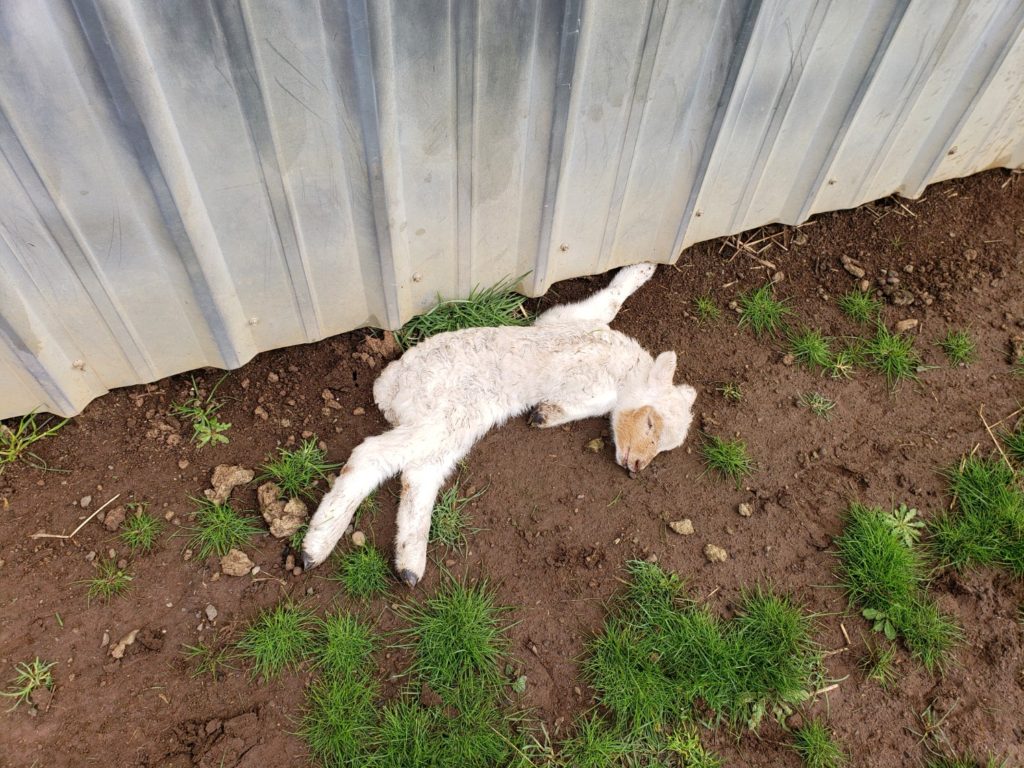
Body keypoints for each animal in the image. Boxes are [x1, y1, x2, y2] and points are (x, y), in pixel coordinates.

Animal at [301, 262, 696, 586]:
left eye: (664, 447)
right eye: (650, 424)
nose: (636, 466)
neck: (627, 370)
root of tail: (388, 386)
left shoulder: (569, 325)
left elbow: (607, 303)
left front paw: (643, 268)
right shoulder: (574, 346)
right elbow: (607, 310)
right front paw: (545, 415)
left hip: (450, 429)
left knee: (418, 476)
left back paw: (409, 565)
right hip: (438, 414)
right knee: (371, 455)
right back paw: (314, 547)